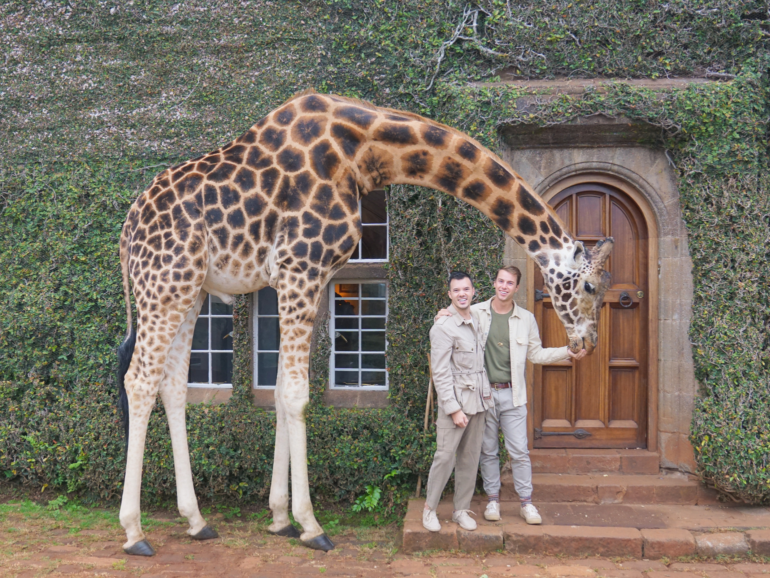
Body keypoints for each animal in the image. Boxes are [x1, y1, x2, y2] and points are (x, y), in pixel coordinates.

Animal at [115, 90, 614, 556]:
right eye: (591, 287)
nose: (586, 344)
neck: (362, 151)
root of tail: (127, 229)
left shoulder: (309, 276)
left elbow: (279, 391)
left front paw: (278, 518)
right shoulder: (300, 268)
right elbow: (296, 395)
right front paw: (310, 526)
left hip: (192, 289)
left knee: (172, 386)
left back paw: (196, 521)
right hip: (165, 284)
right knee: (138, 379)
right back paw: (135, 532)